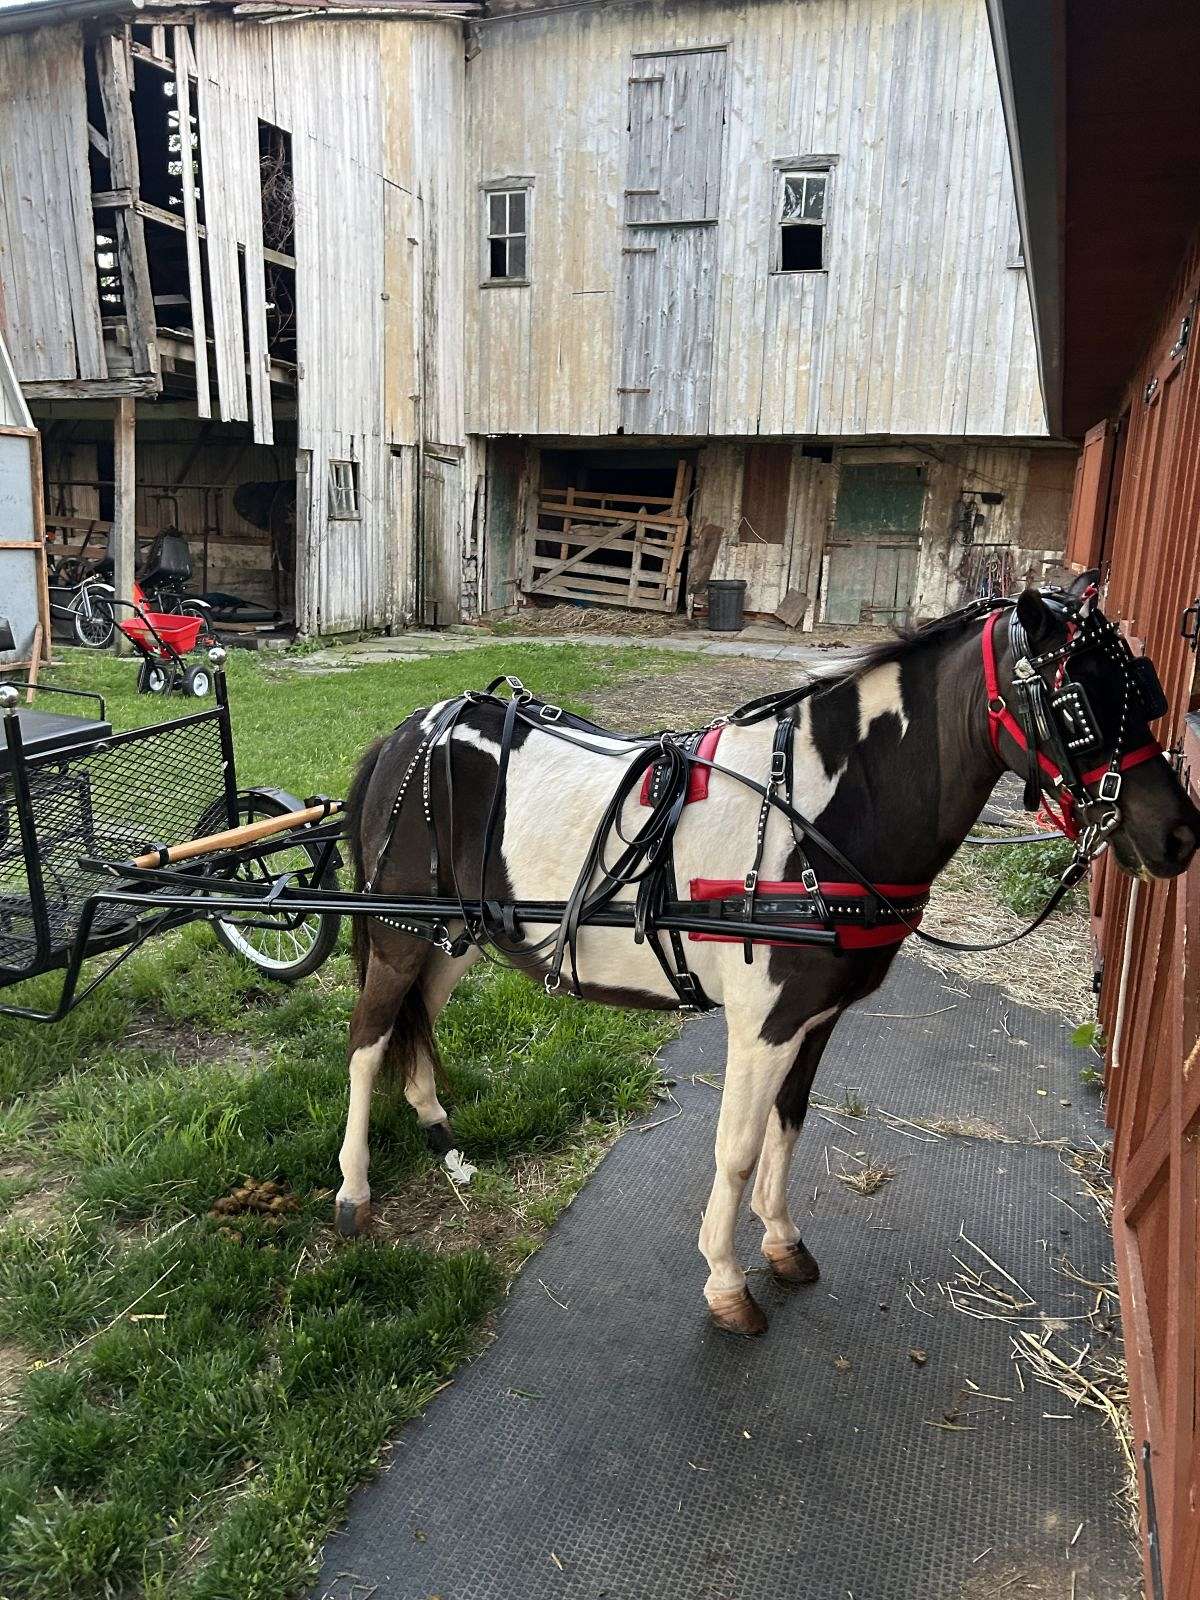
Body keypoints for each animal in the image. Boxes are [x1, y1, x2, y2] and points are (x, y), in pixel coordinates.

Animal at [334, 579, 1199, 1336]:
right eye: (1078, 703)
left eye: (1143, 689)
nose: (1180, 835)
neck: (814, 816)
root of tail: (410, 733)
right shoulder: (763, 1024)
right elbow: (738, 1147)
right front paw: (726, 1282)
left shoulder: (816, 1019)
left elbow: (789, 1124)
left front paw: (782, 1244)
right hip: (396, 938)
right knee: (368, 1043)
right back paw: (352, 1189)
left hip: (453, 938)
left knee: (415, 1026)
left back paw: (439, 1134)